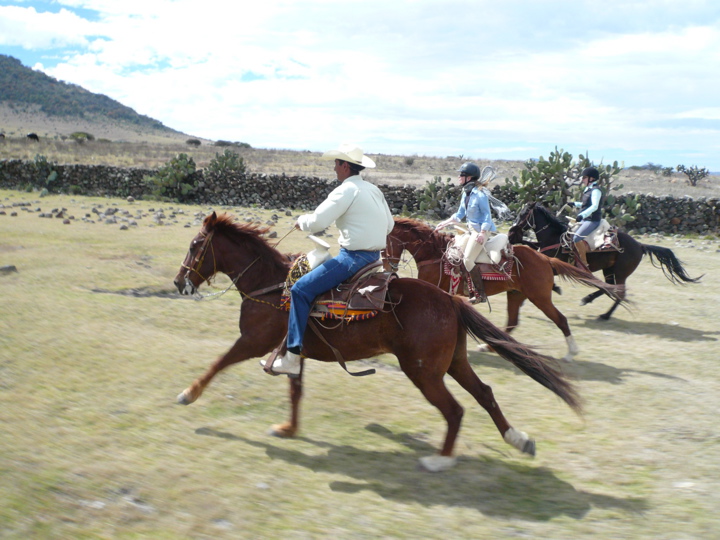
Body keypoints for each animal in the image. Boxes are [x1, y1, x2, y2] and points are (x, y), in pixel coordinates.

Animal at [173, 212, 581, 472]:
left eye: (195, 245)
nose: (179, 283)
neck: (271, 285)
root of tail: (450, 300)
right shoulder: (294, 348)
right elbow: (295, 389)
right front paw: (288, 429)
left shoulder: (253, 341)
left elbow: (220, 362)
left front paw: (188, 394)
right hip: (454, 361)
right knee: (485, 393)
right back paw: (518, 438)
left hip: (424, 372)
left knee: (455, 409)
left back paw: (440, 458)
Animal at [383, 217, 625, 361]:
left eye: (385, 245)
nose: (388, 268)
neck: (434, 254)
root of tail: (545, 259)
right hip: (516, 295)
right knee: (512, 323)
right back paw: (491, 346)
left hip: (539, 298)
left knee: (560, 320)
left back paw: (571, 352)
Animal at [508, 202, 701, 320]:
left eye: (523, 214)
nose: (510, 233)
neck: (554, 237)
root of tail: (639, 245)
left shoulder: (557, 265)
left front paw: (553, 289)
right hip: (609, 270)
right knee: (608, 287)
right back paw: (588, 299)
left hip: (620, 273)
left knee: (618, 292)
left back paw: (605, 315)